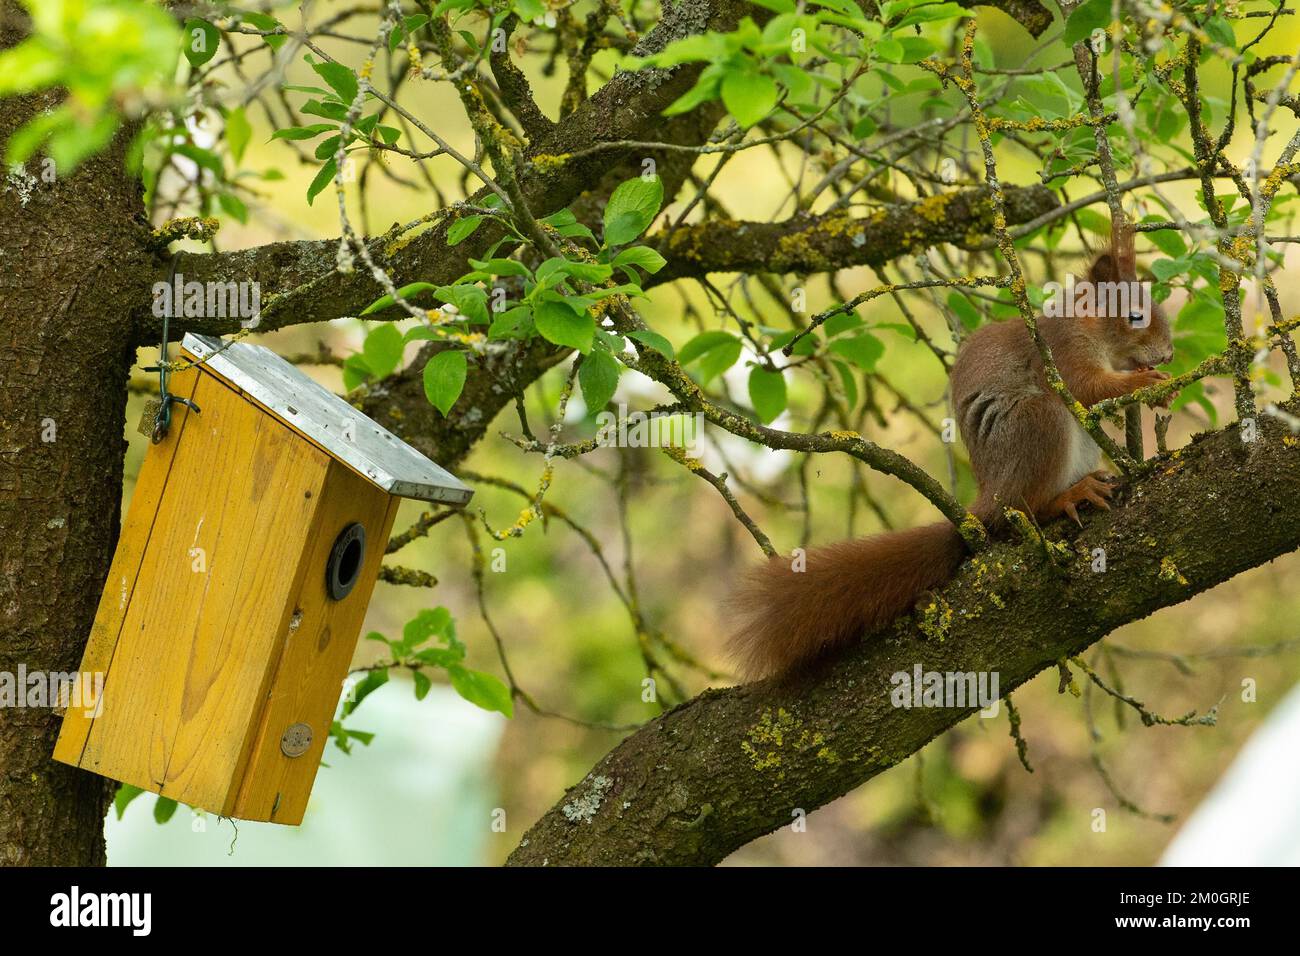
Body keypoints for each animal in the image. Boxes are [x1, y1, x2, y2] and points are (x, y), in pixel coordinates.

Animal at [727, 227, 1175, 681]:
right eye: (1134, 316)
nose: (1168, 354)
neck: (1086, 327)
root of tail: (989, 498)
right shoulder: (1060, 355)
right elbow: (1087, 388)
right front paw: (1147, 383)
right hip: (1037, 423)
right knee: (1025, 508)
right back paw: (1068, 496)